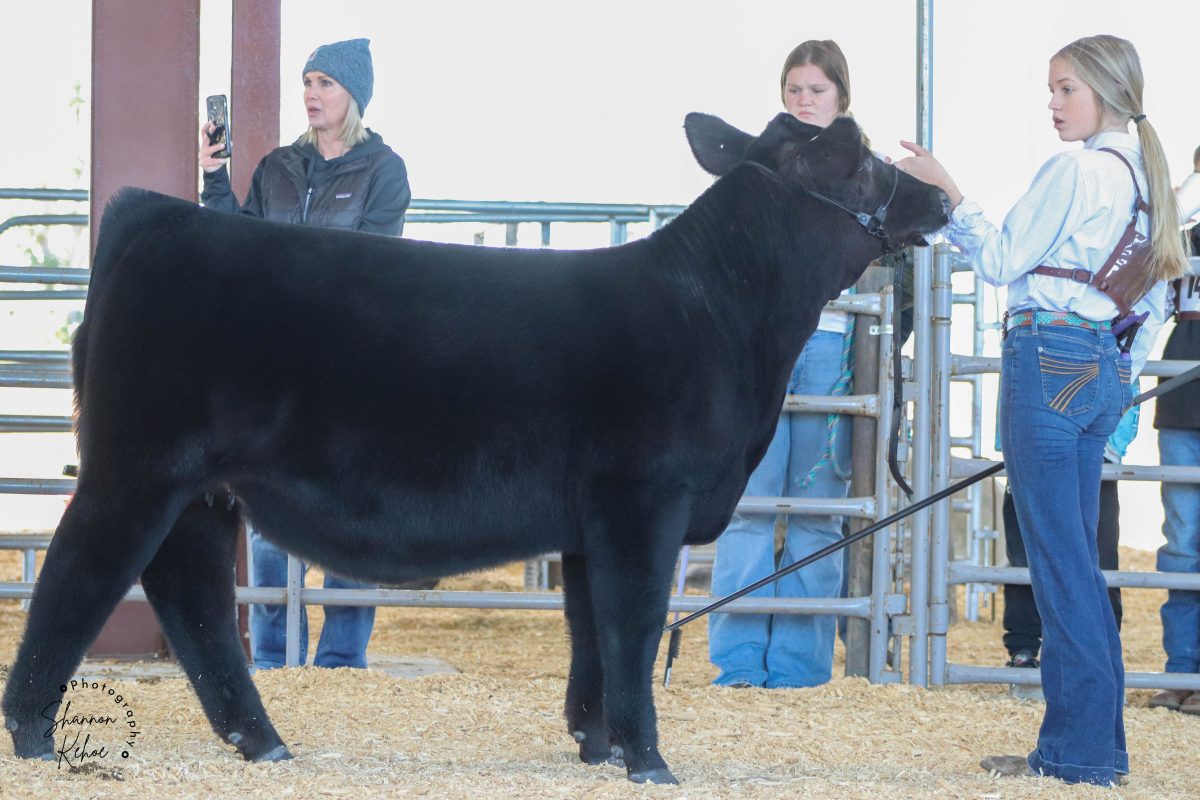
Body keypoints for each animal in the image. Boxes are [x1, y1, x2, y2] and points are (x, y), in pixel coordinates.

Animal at [3, 112, 948, 784]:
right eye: (864, 161)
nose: (942, 199)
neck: (717, 309)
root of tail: (152, 218)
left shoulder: (588, 525)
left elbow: (590, 631)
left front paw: (597, 745)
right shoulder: (641, 503)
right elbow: (635, 625)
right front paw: (650, 762)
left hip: (199, 490)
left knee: (190, 596)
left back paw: (260, 741)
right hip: (135, 469)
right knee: (79, 575)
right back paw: (35, 735)